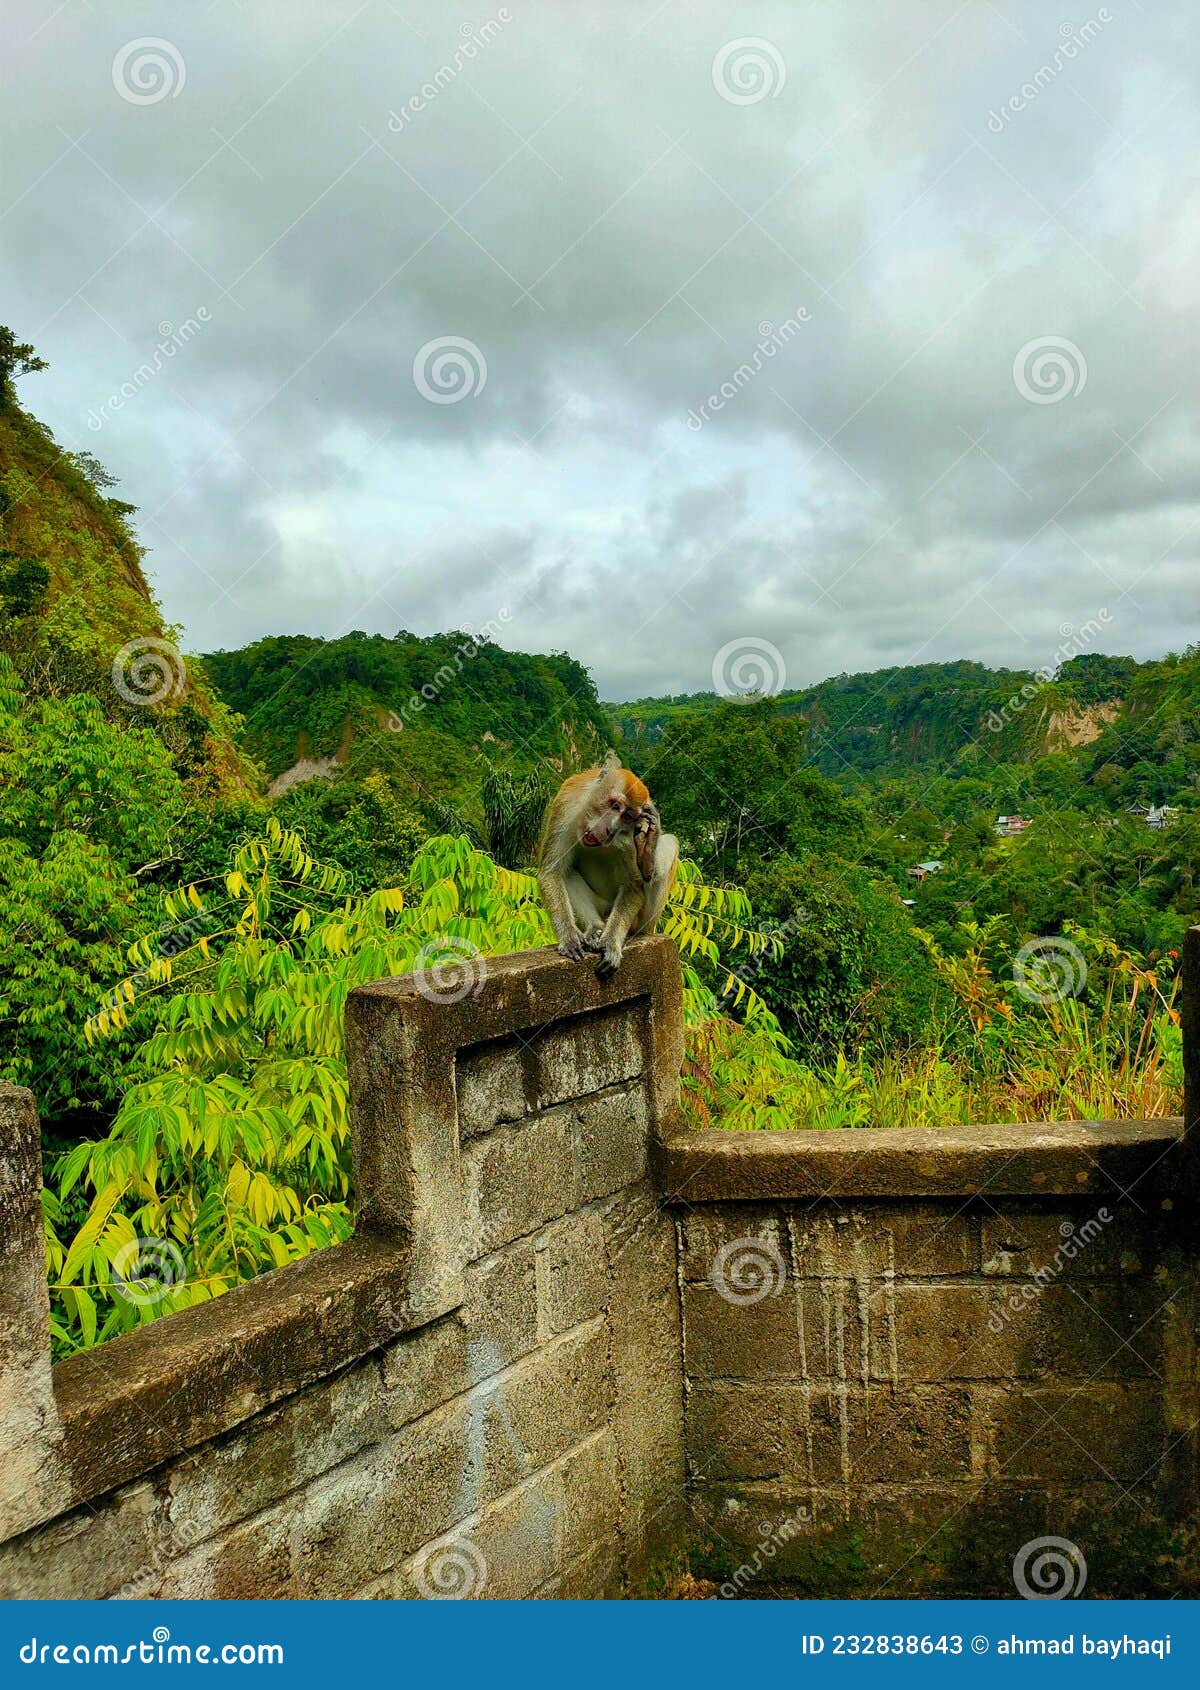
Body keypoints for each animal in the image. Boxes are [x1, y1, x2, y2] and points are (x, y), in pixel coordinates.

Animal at [537, 750, 679, 978]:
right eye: (614, 805)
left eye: (628, 816)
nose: (610, 829)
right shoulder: (566, 804)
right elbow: (553, 870)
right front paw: (569, 937)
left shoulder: (629, 837)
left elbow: (633, 886)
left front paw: (611, 944)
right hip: (602, 907)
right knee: (568, 872)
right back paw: (595, 929)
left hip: (644, 920)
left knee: (671, 842)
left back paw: (649, 851)